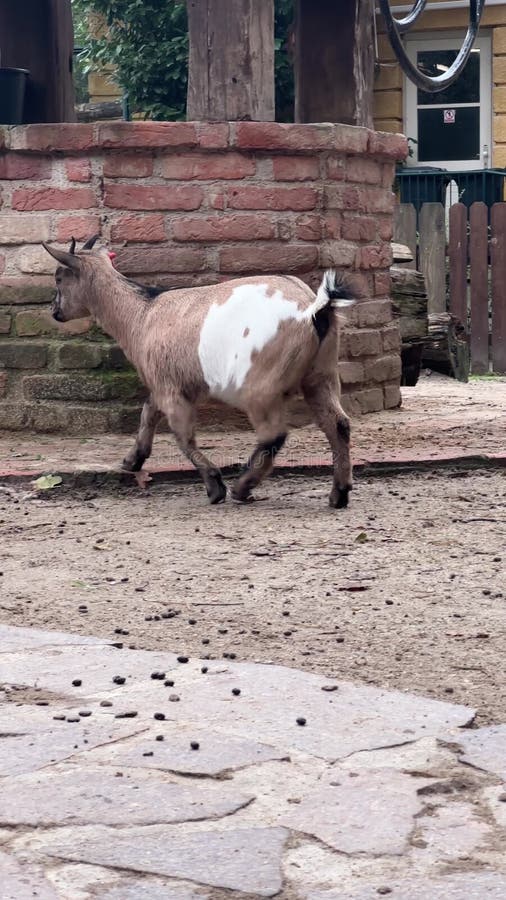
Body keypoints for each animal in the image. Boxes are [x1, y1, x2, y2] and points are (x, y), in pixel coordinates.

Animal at [43, 237, 356, 508]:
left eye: (59, 278)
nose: (54, 311)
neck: (142, 314)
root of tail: (313, 309)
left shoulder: (170, 389)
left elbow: (182, 436)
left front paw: (214, 486)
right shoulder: (167, 383)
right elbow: (148, 413)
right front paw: (133, 460)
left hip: (261, 382)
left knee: (274, 434)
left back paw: (242, 487)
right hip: (321, 374)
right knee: (338, 424)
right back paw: (338, 494)